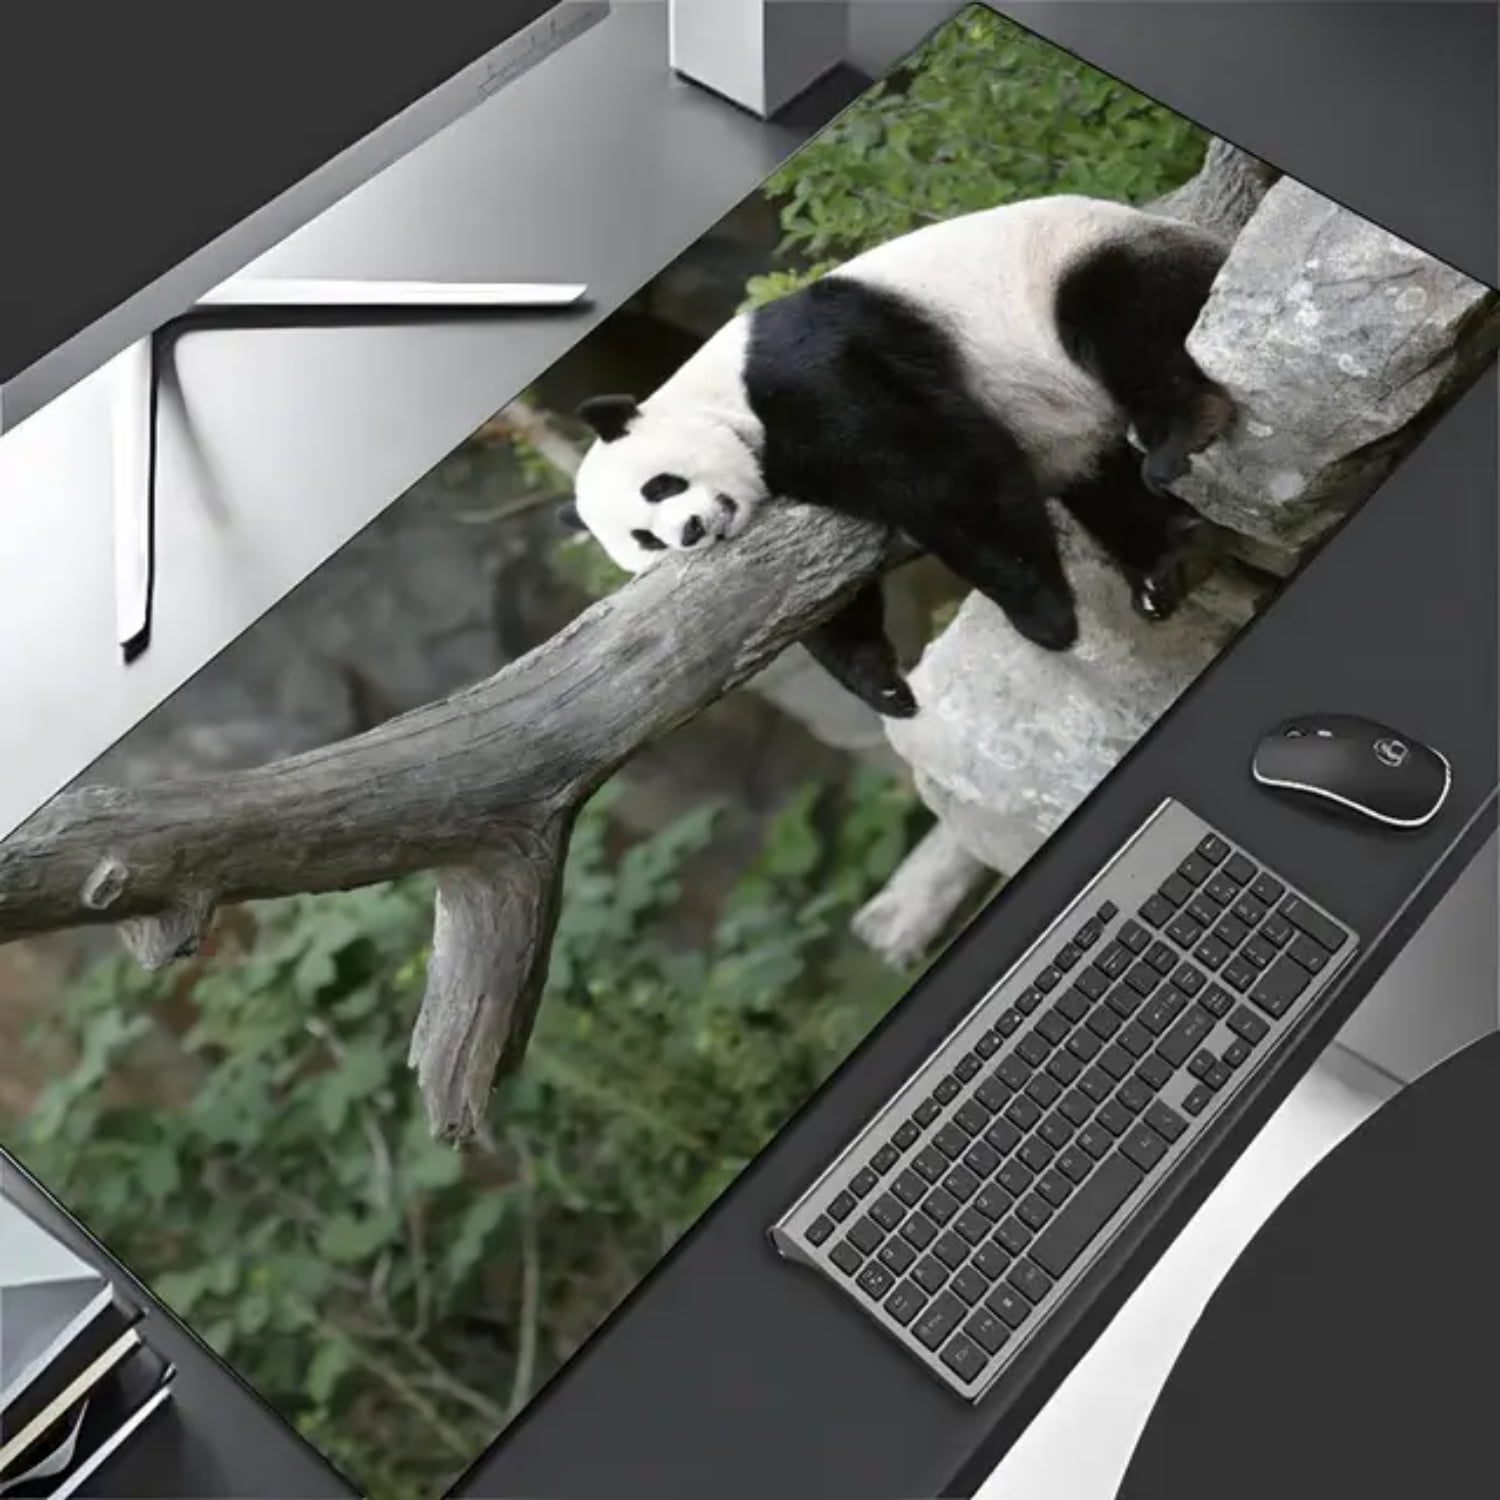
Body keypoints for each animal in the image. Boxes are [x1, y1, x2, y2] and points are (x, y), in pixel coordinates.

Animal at [560, 192, 1233, 718]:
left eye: (660, 486)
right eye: (646, 541)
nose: (692, 531)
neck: (715, 398)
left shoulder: (802, 368)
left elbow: (937, 466)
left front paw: (1044, 618)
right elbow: (814, 599)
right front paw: (881, 685)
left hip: (1080, 263)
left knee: (1127, 321)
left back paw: (1180, 434)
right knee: (1099, 479)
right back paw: (1164, 566)